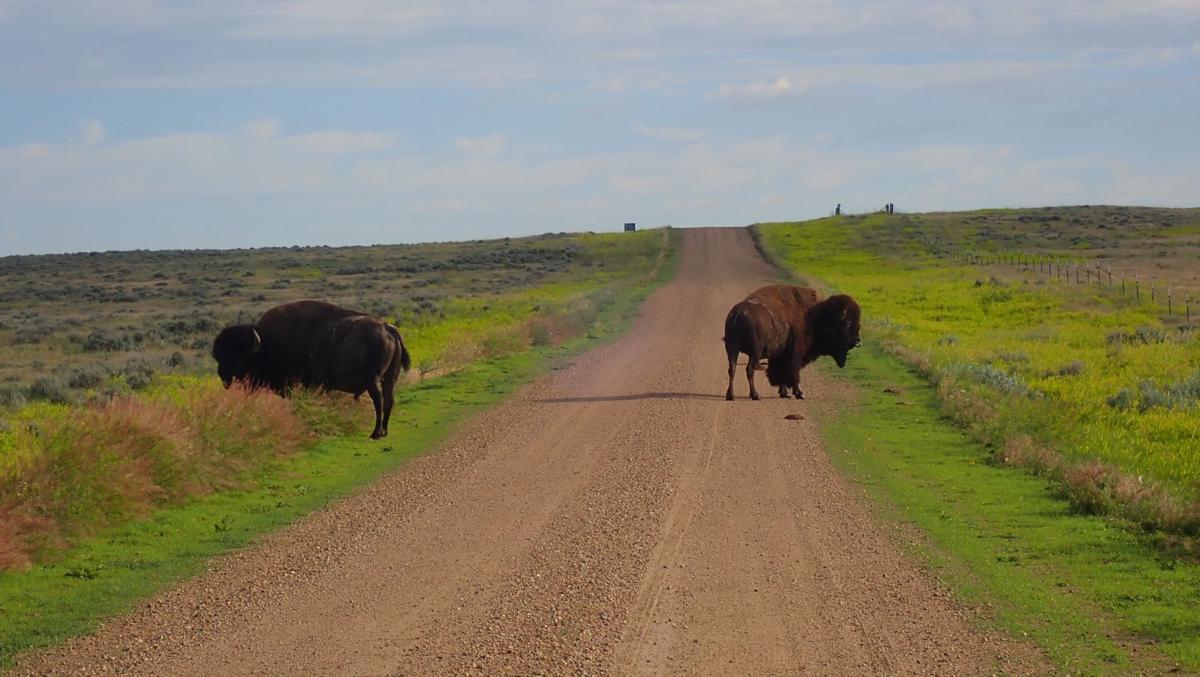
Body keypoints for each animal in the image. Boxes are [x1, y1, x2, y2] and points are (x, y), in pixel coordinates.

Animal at [212, 300, 412, 439]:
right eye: (219, 356)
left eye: (236, 356)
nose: (223, 376)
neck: (267, 344)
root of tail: (388, 328)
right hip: (389, 377)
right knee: (389, 400)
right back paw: (384, 431)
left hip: (372, 379)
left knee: (378, 400)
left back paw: (376, 433)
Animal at [723, 286, 860, 401]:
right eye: (847, 323)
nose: (857, 341)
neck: (815, 316)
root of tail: (739, 313)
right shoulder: (796, 354)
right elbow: (794, 373)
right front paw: (799, 394)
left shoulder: (780, 356)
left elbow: (780, 373)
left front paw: (784, 393)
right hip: (754, 353)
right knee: (749, 370)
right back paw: (755, 395)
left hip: (732, 350)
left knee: (732, 369)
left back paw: (730, 395)